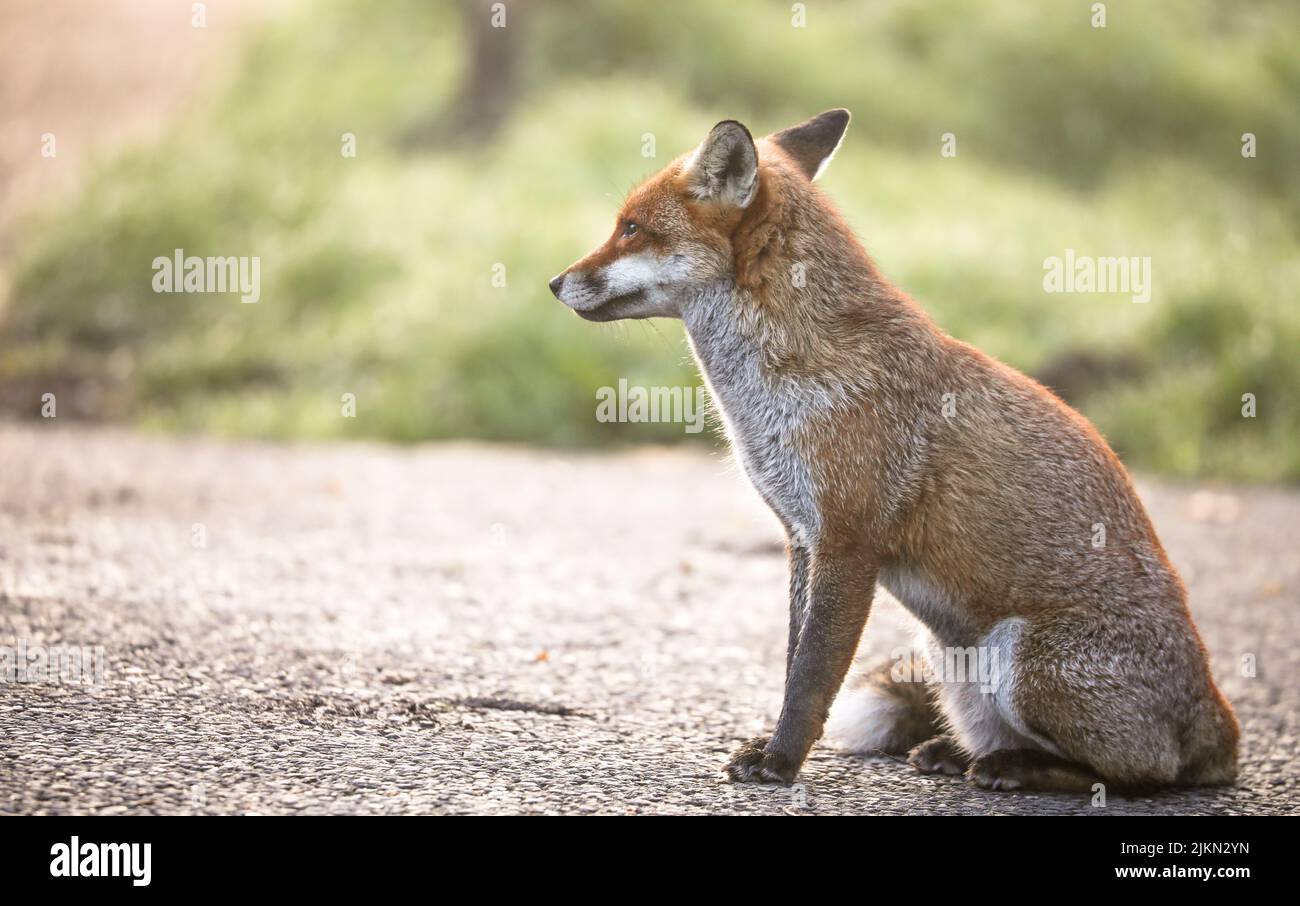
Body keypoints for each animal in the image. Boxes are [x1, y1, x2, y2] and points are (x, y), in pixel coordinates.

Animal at [548, 109, 1238, 793]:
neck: (778, 388)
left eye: (630, 228)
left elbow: (810, 677)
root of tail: (1220, 723)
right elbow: (794, 659)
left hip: (1022, 659)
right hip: (950, 657)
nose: (555, 283)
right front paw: (776, 748)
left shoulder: (849, 543)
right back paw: (958, 753)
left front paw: (780, 761)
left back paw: (1016, 768)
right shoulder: (803, 539)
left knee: (1138, 774)